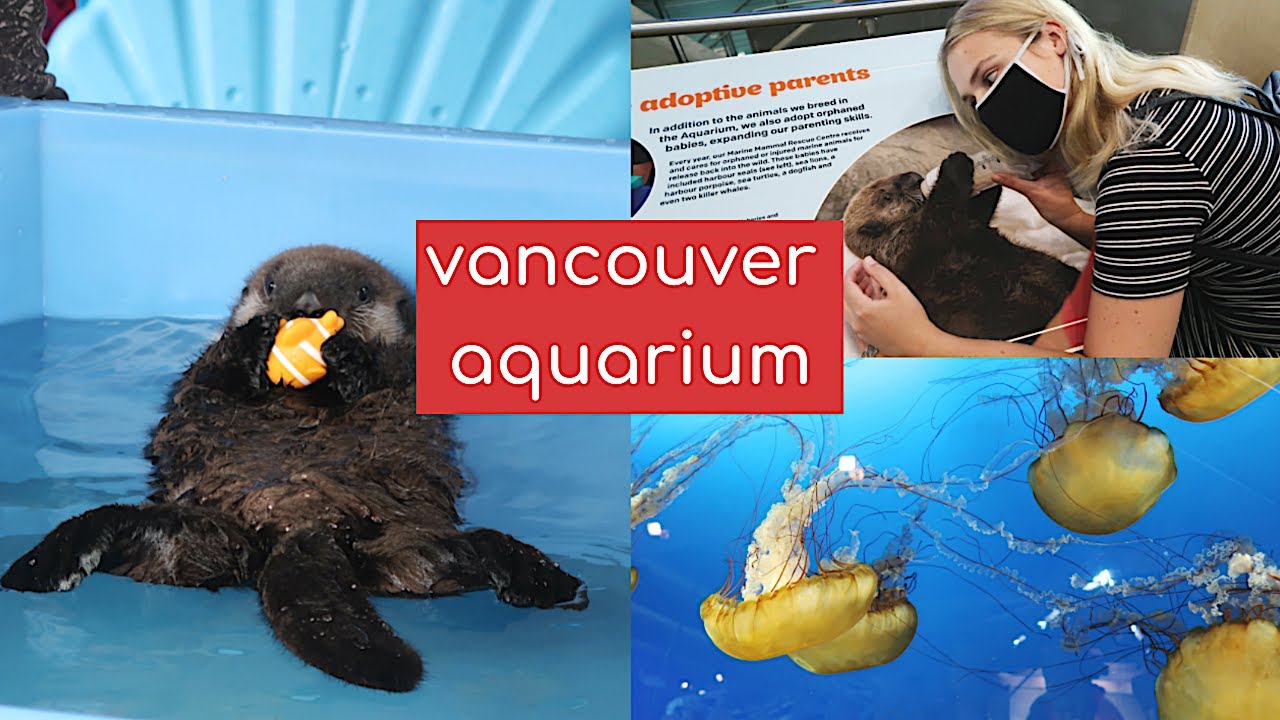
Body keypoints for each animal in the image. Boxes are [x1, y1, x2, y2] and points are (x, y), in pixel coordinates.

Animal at [0, 245, 586, 692]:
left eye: (362, 293)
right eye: (272, 284)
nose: (305, 306)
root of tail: (304, 527)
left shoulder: (409, 365)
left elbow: (388, 368)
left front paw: (349, 357)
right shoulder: (202, 369)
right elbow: (212, 374)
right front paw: (252, 342)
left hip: (401, 538)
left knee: (462, 553)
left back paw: (544, 579)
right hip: (206, 533)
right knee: (124, 526)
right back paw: (47, 564)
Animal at [843, 152, 1079, 342]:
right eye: (887, 196)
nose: (914, 176)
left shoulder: (971, 225)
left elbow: (976, 211)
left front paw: (993, 181)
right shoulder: (908, 239)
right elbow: (941, 210)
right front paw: (957, 161)